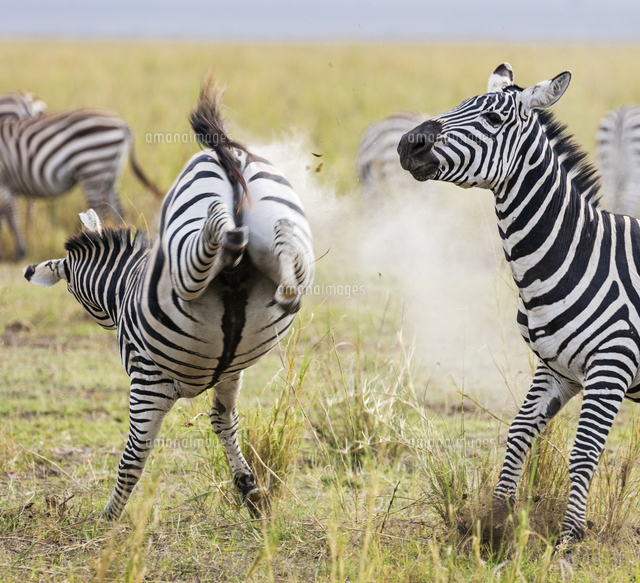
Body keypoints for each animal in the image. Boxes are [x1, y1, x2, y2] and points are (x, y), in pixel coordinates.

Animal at [0, 105, 162, 260]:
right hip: (111, 175)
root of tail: (121, 123)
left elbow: (11, 215)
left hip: (92, 169)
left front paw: (20, 252)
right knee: (118, 211)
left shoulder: (4, 181)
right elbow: (10, 214)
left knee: (101, 214)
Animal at [24, 80, 314, 520]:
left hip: (189, 240)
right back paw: (285, 284)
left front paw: (108, 520)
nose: (108, 319)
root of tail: (224, 154)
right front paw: (250, 490)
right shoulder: (228, 374)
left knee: (212, 232)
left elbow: (133, 455)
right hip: (283, 214)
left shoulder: (147, 379)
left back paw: (227, 234)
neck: (125, 280)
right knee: (283, 240)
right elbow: (223, 422)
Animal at [398, 62, 640, 550]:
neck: (578, 254)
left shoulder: (612, 366)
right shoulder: (558, 368)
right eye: (459, 104)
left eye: (493, 119)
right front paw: (495, 523)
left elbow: (583, 452)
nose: (407, 144)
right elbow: (519, 432)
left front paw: (568, 541)